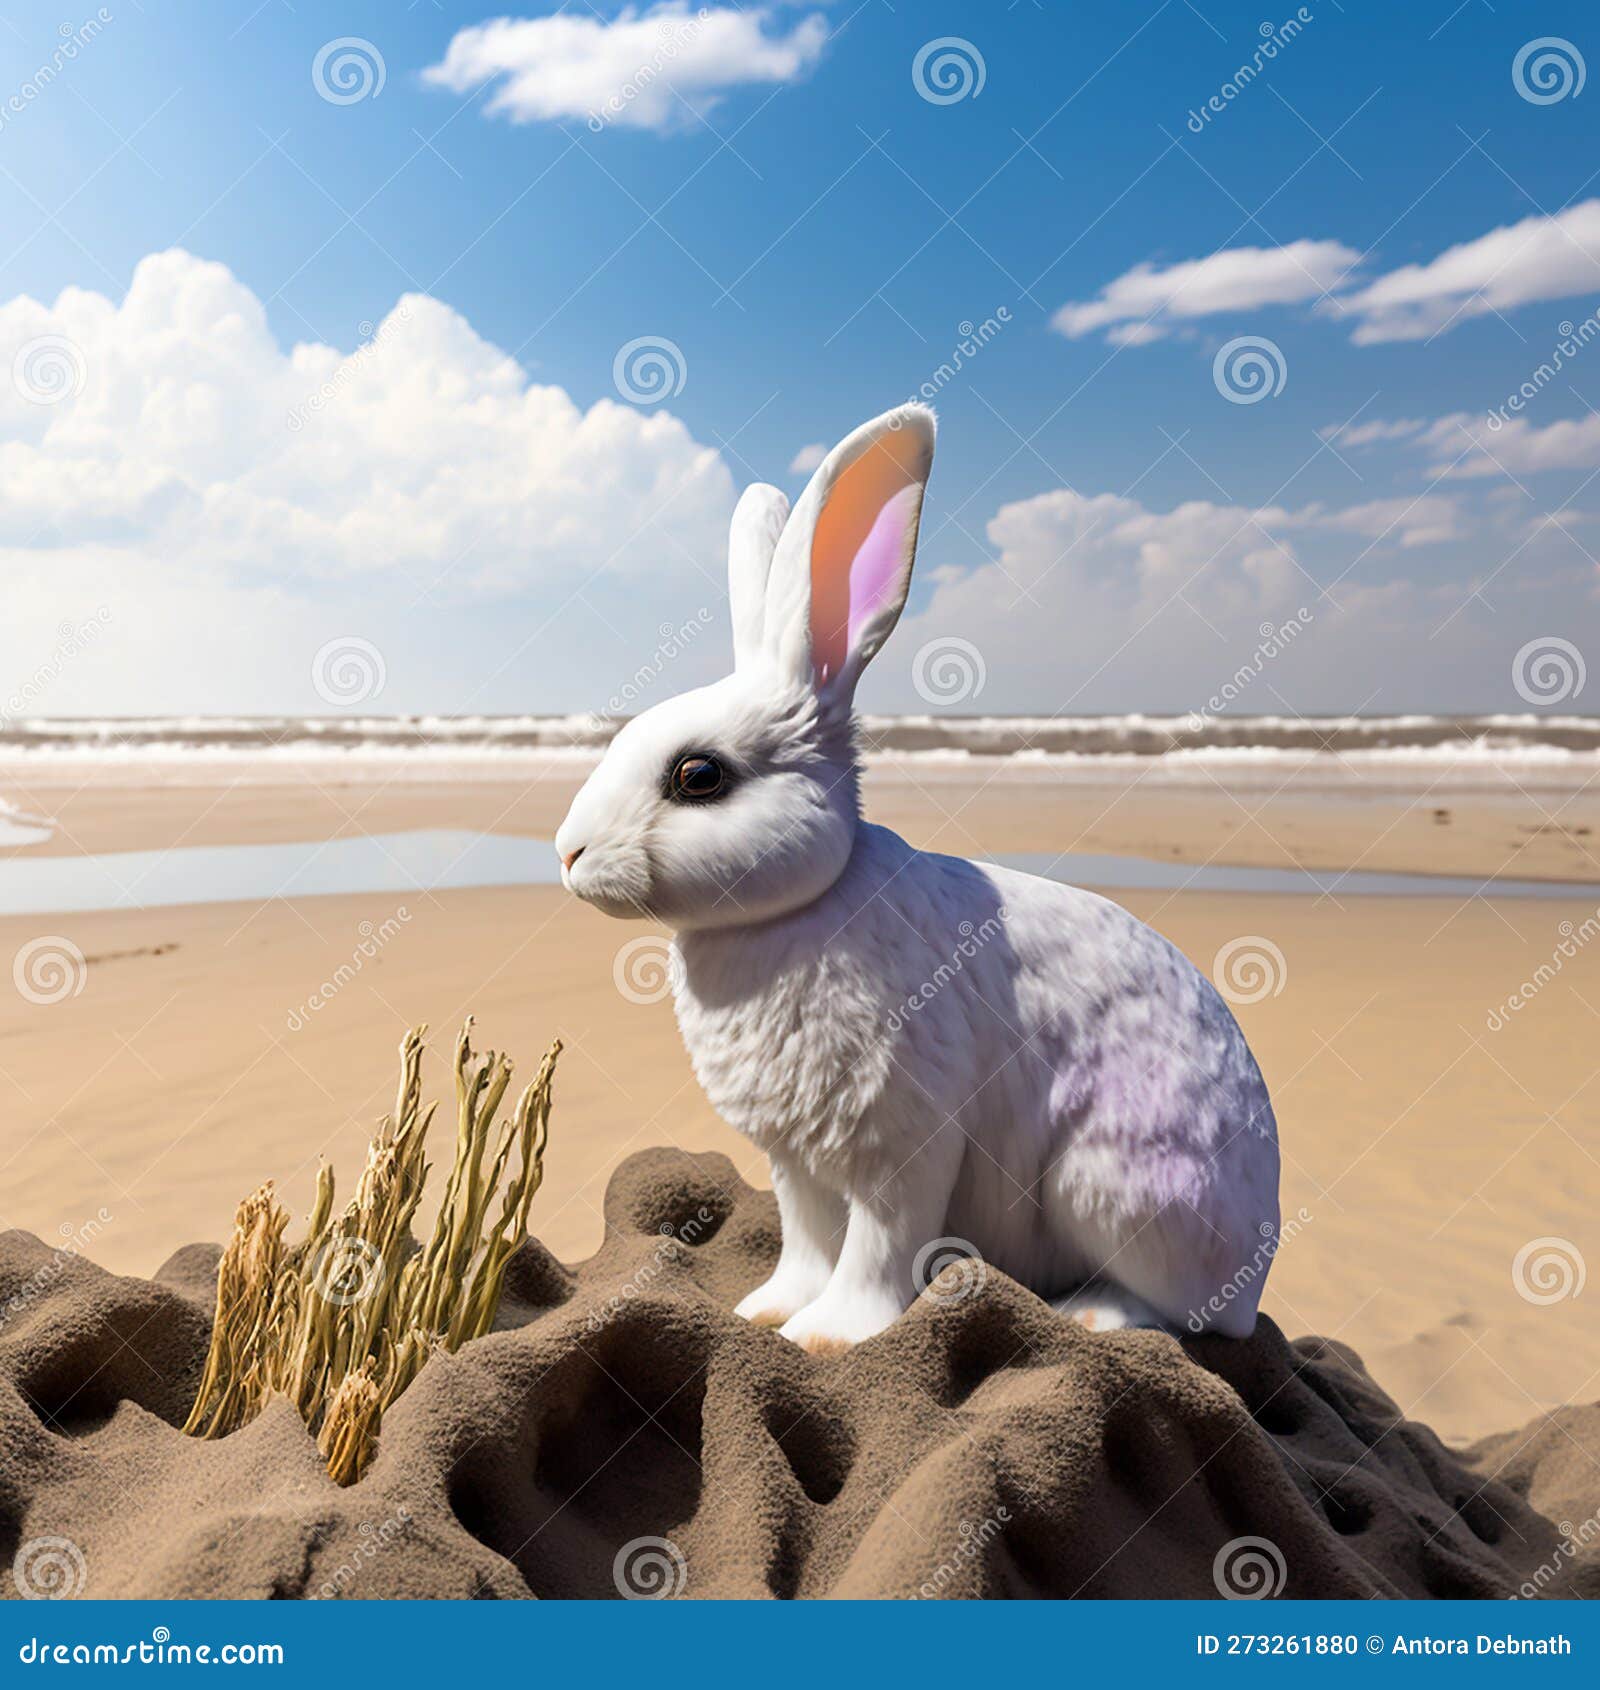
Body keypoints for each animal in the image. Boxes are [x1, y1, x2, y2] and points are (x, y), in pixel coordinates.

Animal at [555, 404, 1281, 1353]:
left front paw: (829, 1338)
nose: (567, 853)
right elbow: (807, 1239)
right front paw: (768, 1310)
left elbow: (880, 1247)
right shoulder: (796, 1163)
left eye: (699, 776)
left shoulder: (905, 1141)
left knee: (1171, 1310)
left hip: (1118, 1183)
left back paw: (1089, 1313)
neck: (805, 902)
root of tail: (1254, 1274)